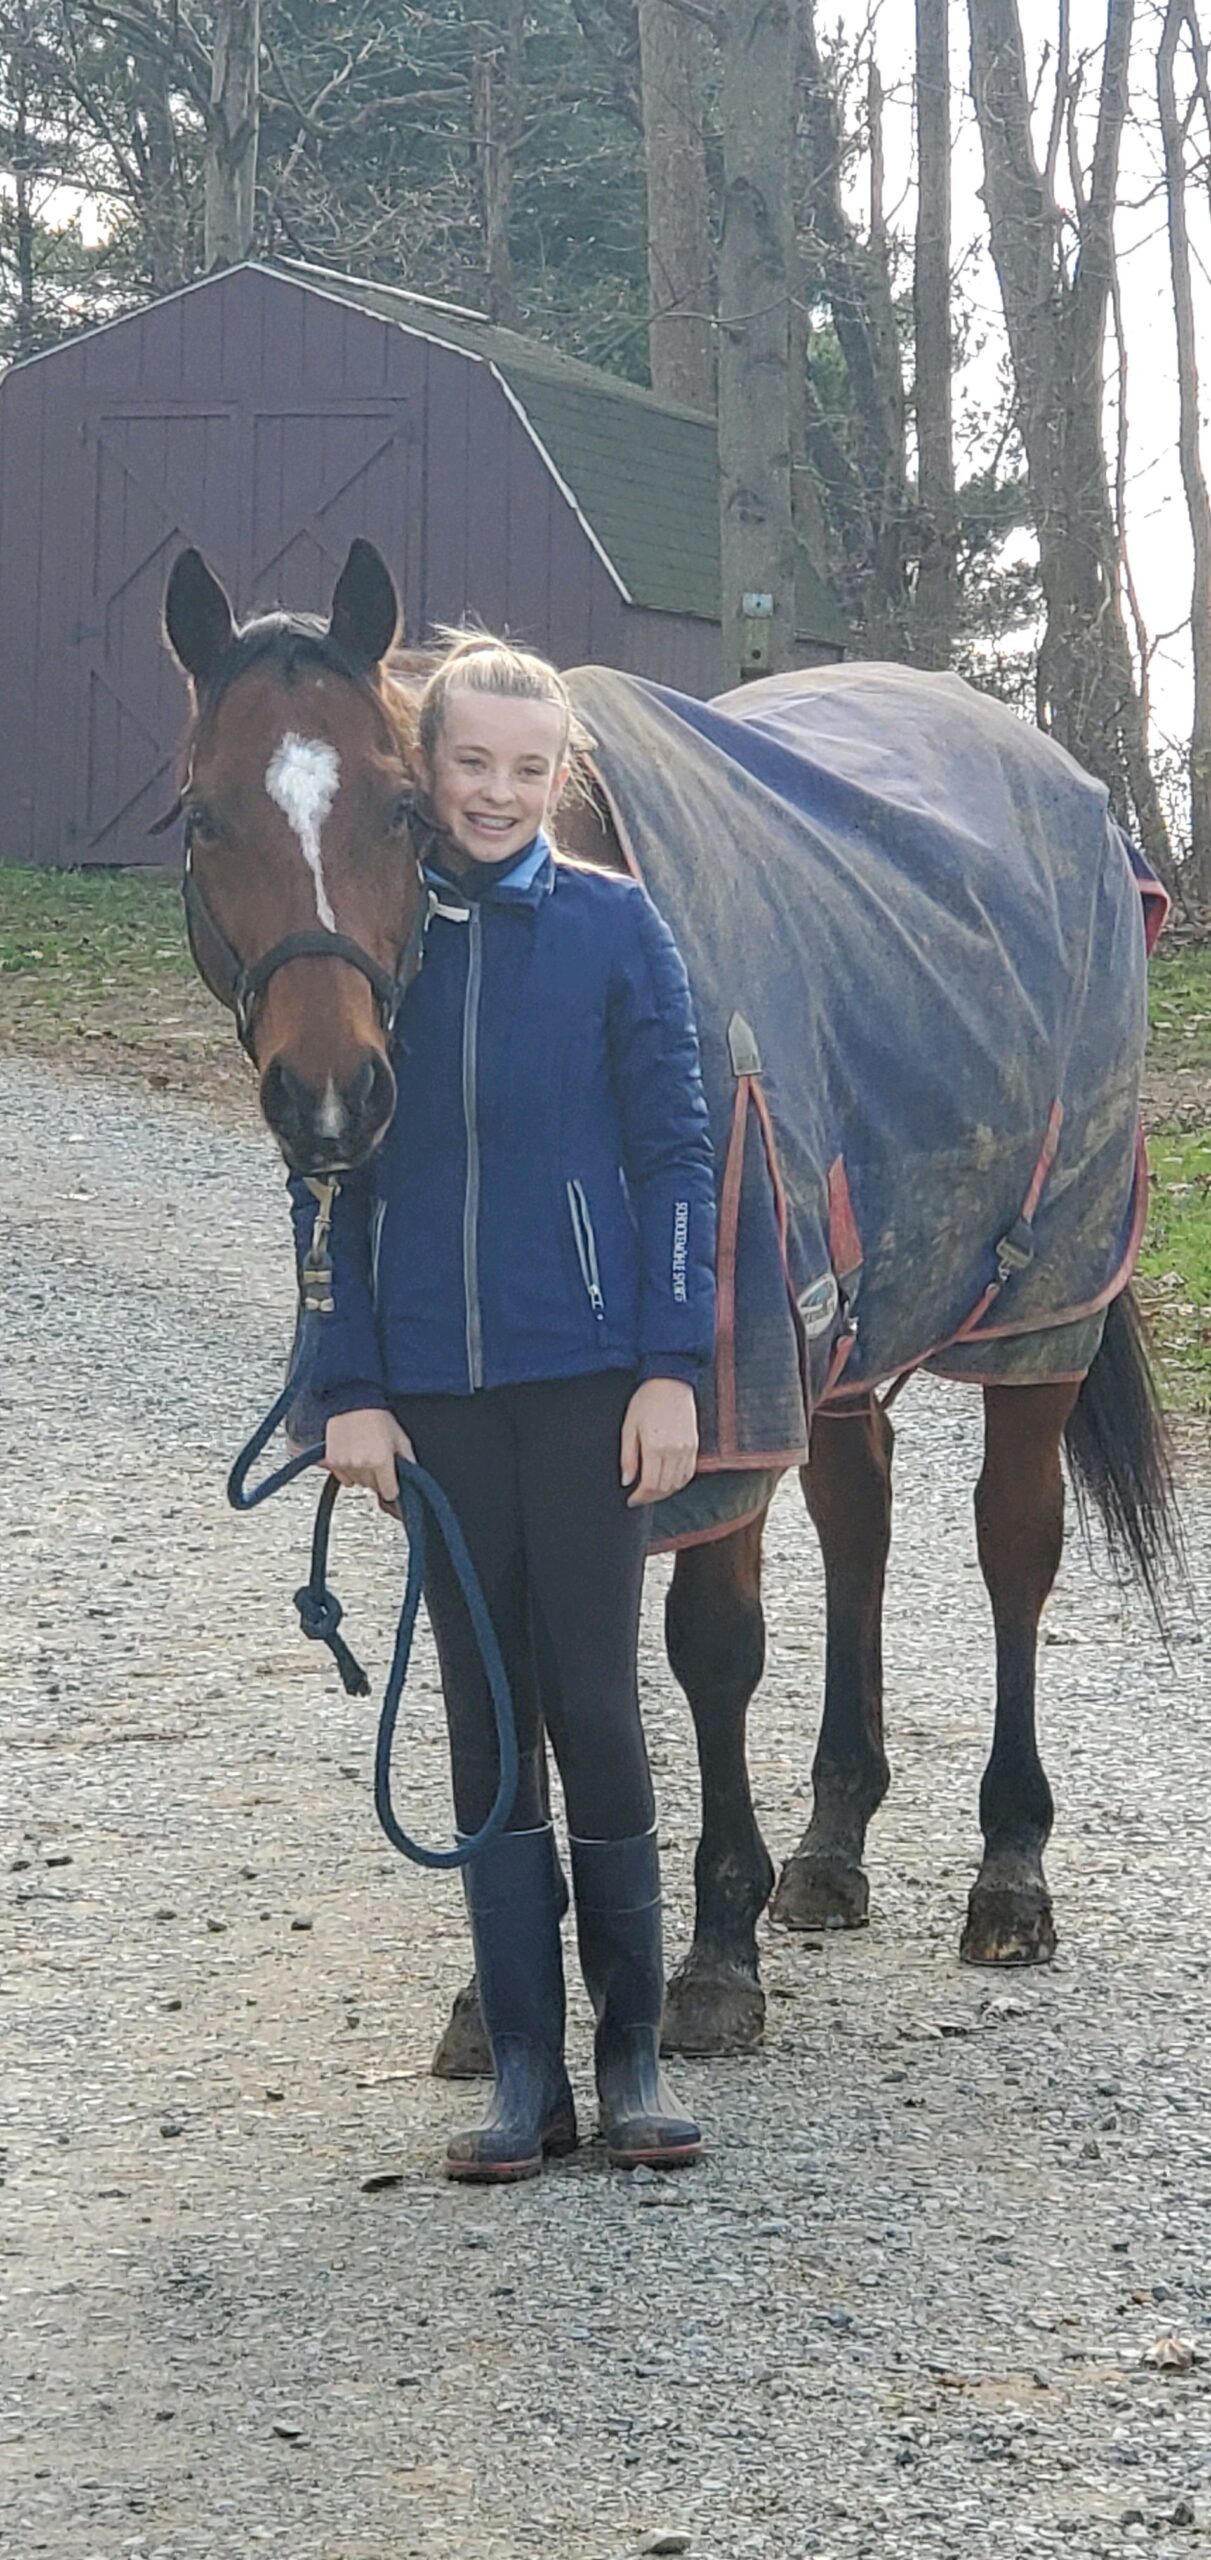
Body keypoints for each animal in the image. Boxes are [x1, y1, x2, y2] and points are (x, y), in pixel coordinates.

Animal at [161, 536, 1181, 2074]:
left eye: (402, 809)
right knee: (861, 1526)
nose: (331, 1100)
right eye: (206, 817)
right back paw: (831, 1846)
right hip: (842, 1338)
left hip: (1039, 1310)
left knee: (1014, 1550)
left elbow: (710, 1654)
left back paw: (1008, 1870)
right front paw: (497, 1998)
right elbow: (510, 1675)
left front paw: (711, 1950)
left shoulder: (717, 1401)